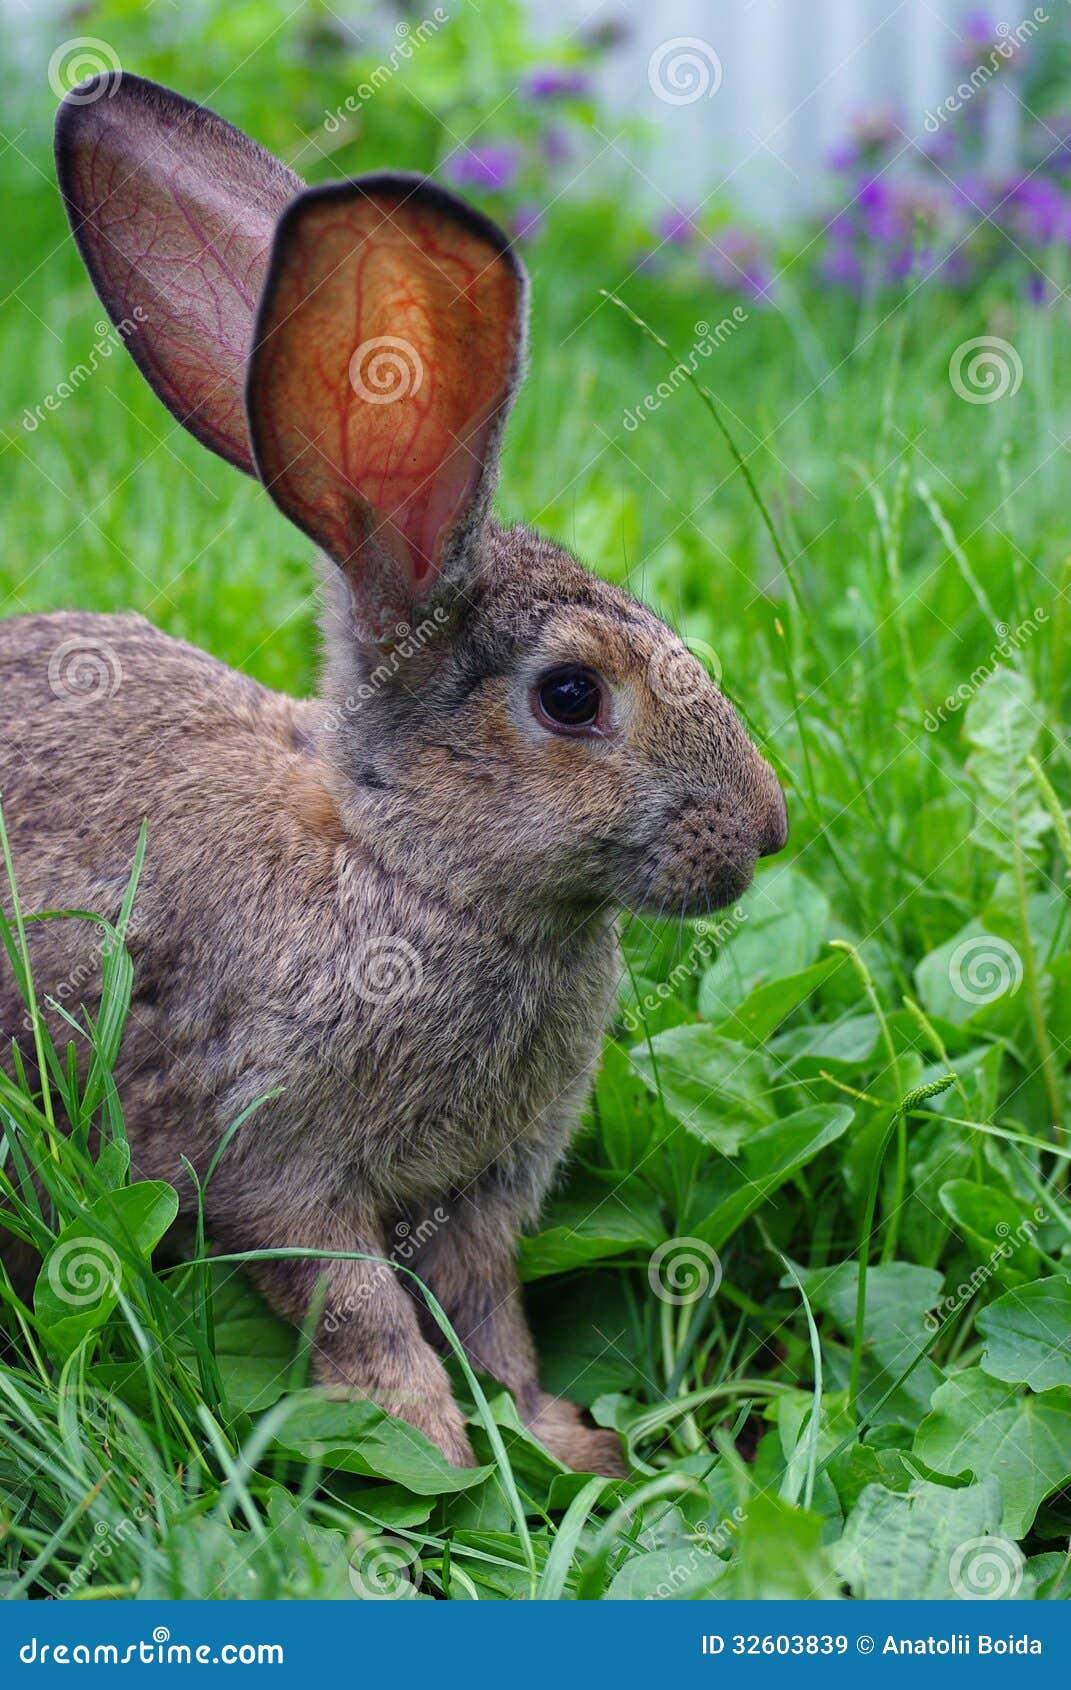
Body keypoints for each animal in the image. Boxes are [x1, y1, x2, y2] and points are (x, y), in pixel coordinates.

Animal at [0, 74, 787, 1477]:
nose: (768, 829)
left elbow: (488, 1307)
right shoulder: (273, 1158)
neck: (410, 871)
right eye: (572, 696)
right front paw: (430, 1442)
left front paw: (557, 1441)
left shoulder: (485, 1195)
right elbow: (356, 1301)